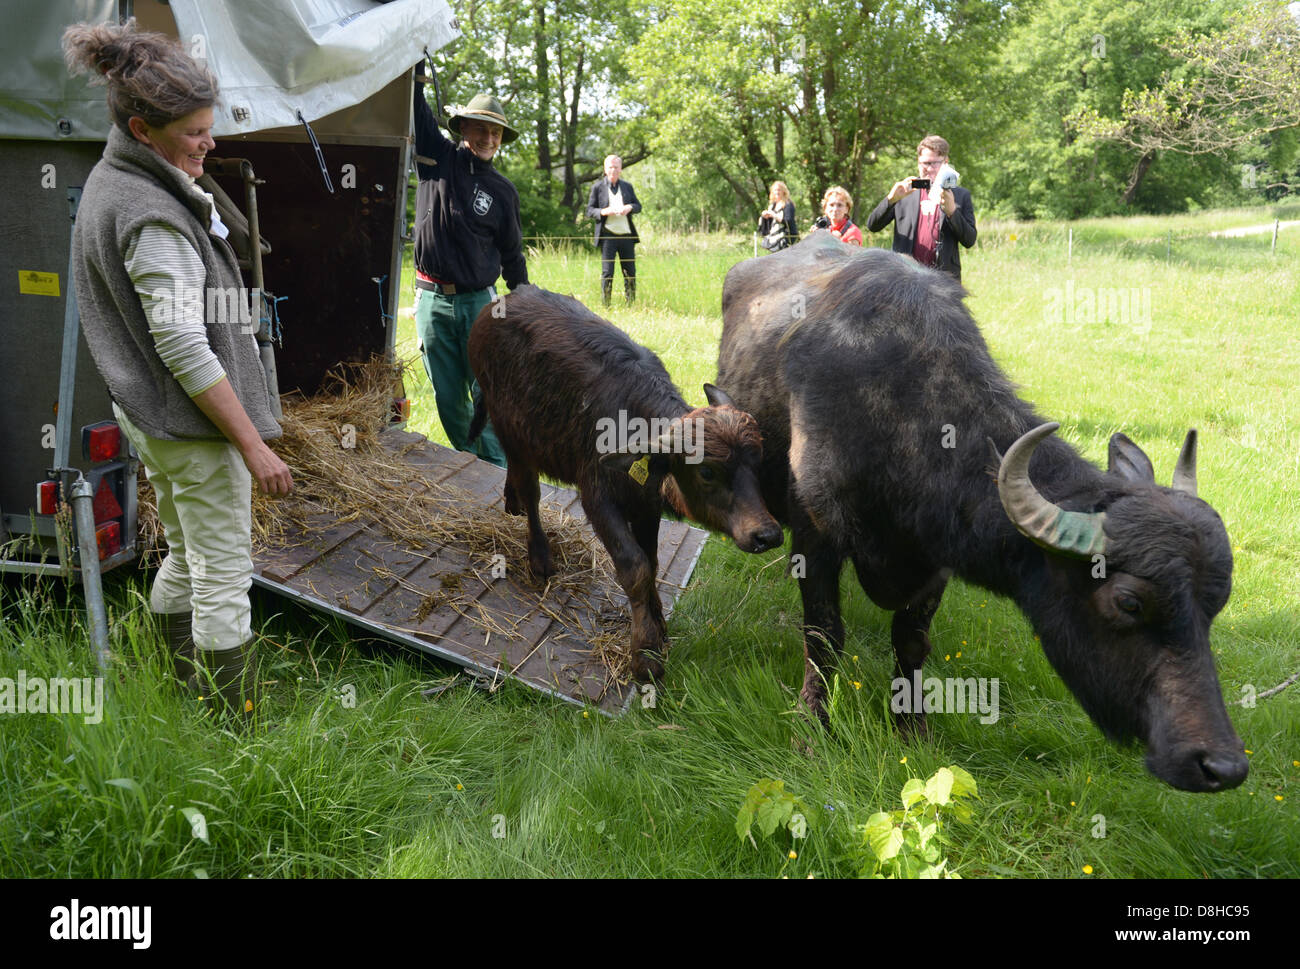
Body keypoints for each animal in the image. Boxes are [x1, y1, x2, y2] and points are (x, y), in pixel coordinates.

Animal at [469, 285, 782, 681]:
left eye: (758, 462)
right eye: (707, 472)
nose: (767, 535)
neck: (632, 422)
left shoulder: (646, 505)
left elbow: (652, 562)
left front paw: (659, 622)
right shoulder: (597, 498)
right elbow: (634, 566)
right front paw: (645, 651)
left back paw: (512, 504)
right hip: (510, 426)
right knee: (532, 489)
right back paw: (539, 553)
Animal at [717, 233, 1247, 792]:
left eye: (1217, 603)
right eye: (1128, 602)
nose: (1222, 765)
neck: (896, 406)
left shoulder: (935, 561)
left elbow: (912, 642)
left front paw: (912, 728)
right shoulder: (816, 537)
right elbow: (823, 636)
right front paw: (813, 726)